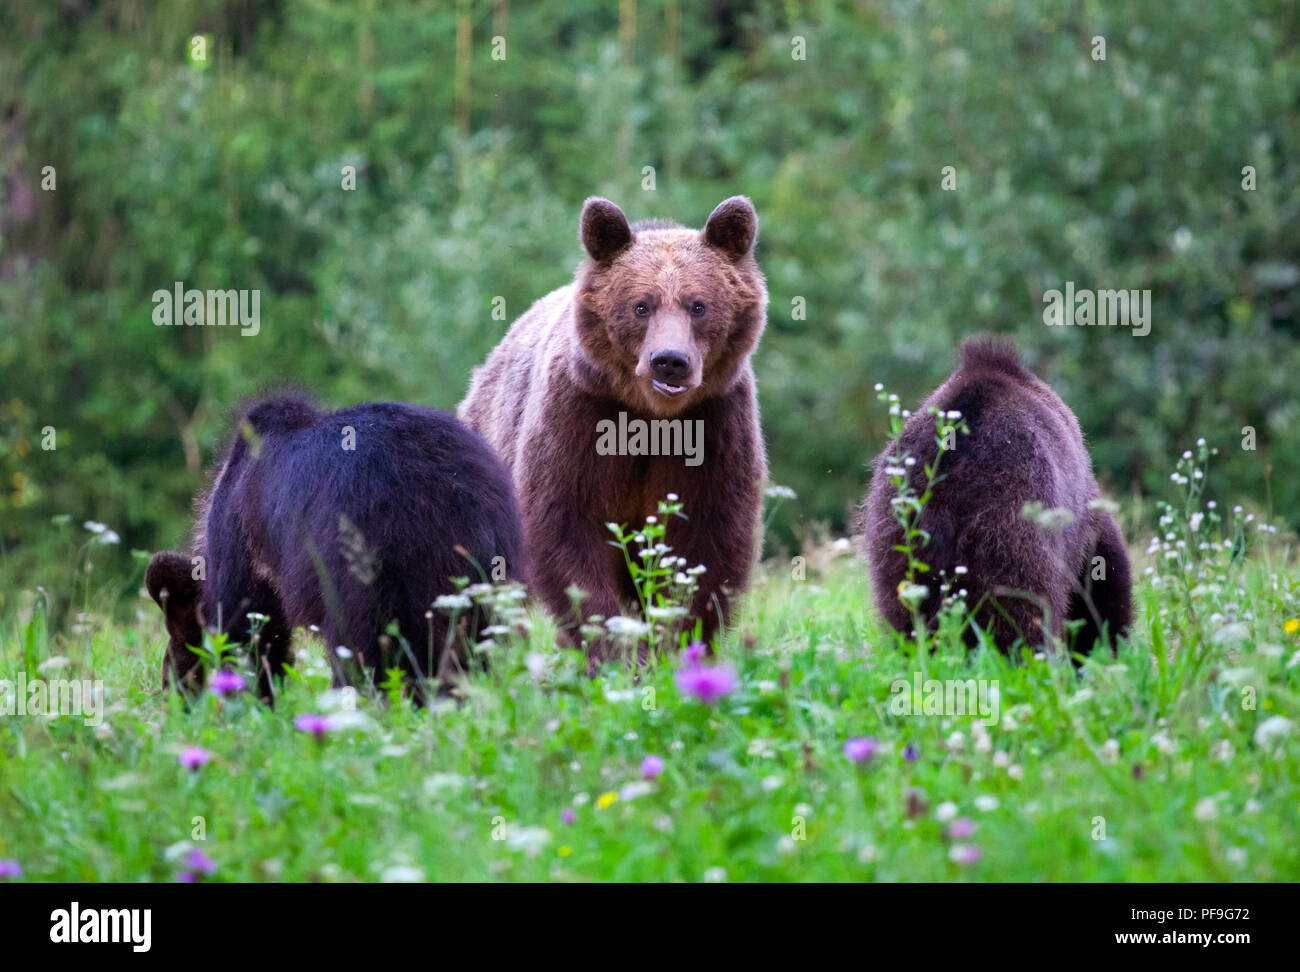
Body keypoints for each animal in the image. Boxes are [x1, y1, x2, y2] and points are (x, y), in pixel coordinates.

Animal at [145, 395, 526, 699]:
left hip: (363, 562)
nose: (171, 697)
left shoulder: (243, 537)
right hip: (487, 565)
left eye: (174, 651)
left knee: (361, 650)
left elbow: (248, 628)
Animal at [458, 196, 768, 658]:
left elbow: (708, 543)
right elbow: (566, 529)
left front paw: (675, 642)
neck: (651, 415)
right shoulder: (578, 419)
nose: (669, 361)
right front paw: (609, 648)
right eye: (642, 305)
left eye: (698, 305)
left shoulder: (714, 426)